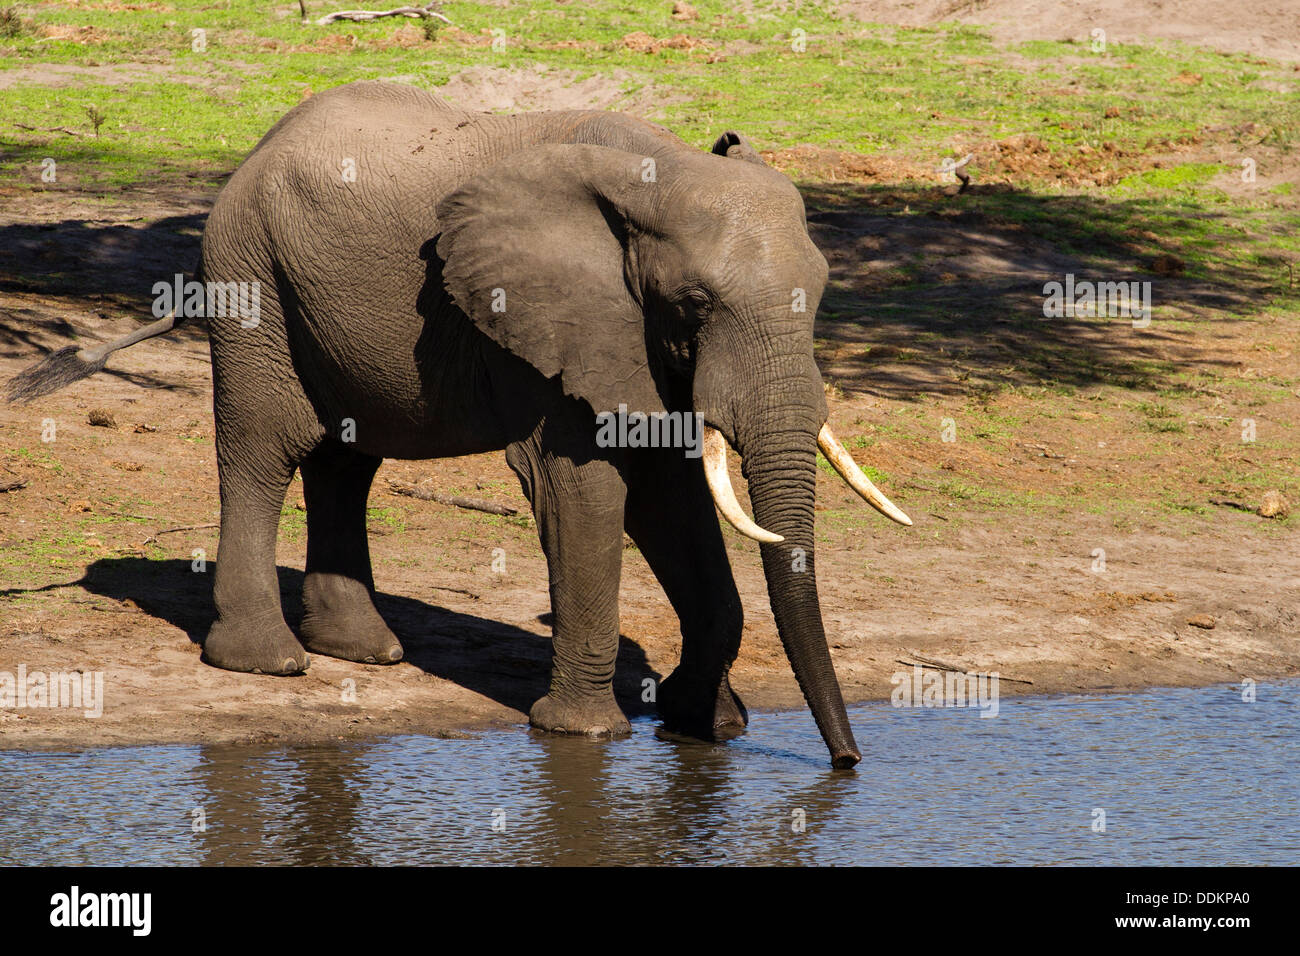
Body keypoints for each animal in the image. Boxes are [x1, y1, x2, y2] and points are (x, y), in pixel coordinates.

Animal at [6, 81, 911, 769]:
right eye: (695, 303)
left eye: (821, 295)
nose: (847, 764)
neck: (656, 173)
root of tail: (256, 151)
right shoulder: (547, 317)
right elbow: (582, 487)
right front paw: (585, 735)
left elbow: (671, 488)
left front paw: (706, 726)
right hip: (251, 271)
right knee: (264, 451)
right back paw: (271, 664)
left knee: (346, 460)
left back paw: (364, 652)